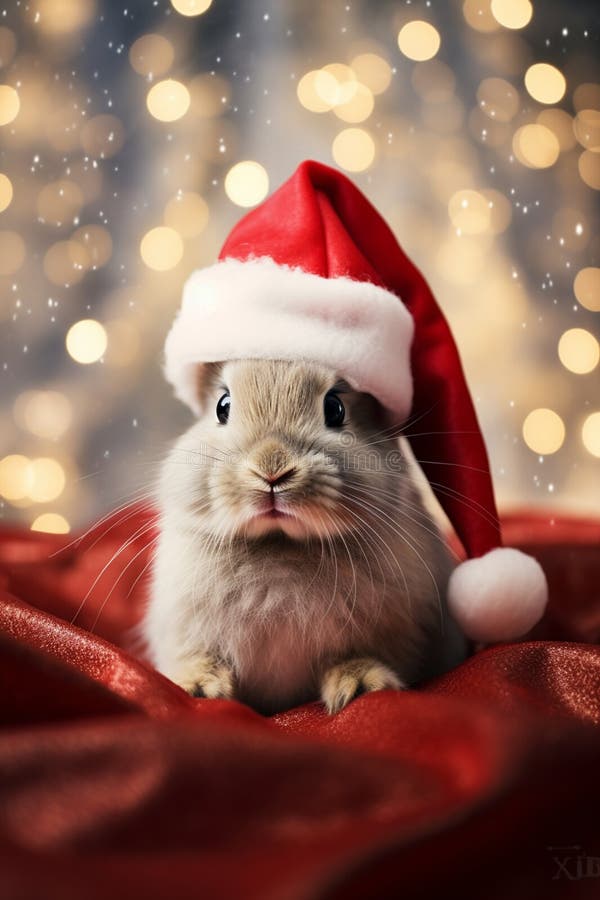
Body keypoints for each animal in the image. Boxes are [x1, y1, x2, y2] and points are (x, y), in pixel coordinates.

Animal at [144, 358, 467, 715]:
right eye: (222, 406)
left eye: (335, 407)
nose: (272, 468)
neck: (281, 545)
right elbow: (199, 658)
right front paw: (198, 689)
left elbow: (357, 657)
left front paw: (361, 686)